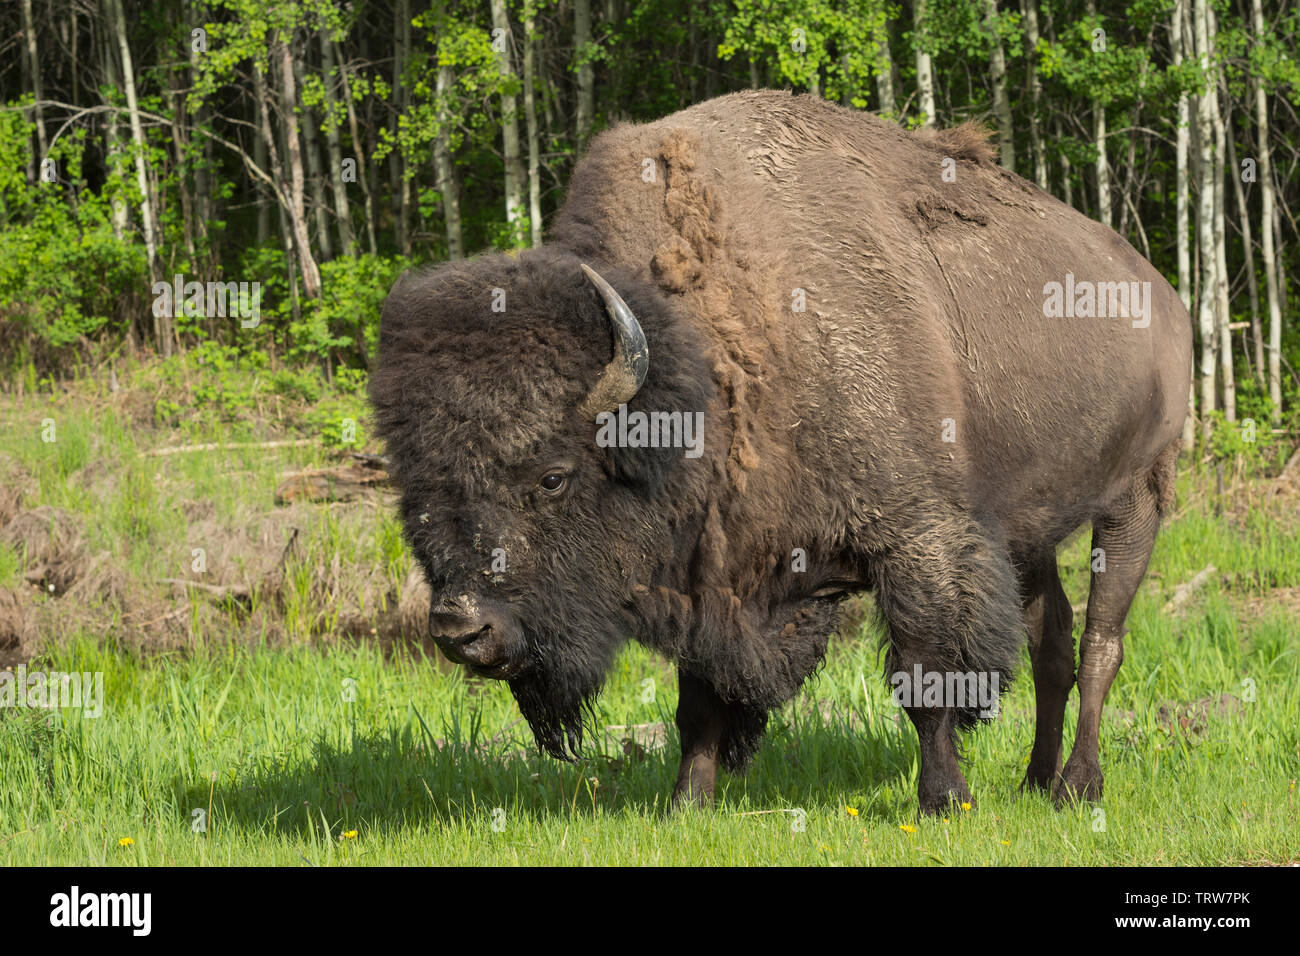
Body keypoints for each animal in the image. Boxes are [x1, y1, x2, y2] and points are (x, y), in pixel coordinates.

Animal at [370, 90, 1192, 814]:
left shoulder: (917, 540)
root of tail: (1159, 290)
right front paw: (687, 804)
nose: (461, 629)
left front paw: (943, 800)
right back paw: (1034, 781)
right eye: (418, 490)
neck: (711, 374)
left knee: (1101, 643)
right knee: (1051, 639)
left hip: (1136, 499)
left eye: (552, 477)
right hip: (1030, 531)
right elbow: (700, 701)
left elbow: (926, 676)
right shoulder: (714, 570)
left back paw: (1077, 786)